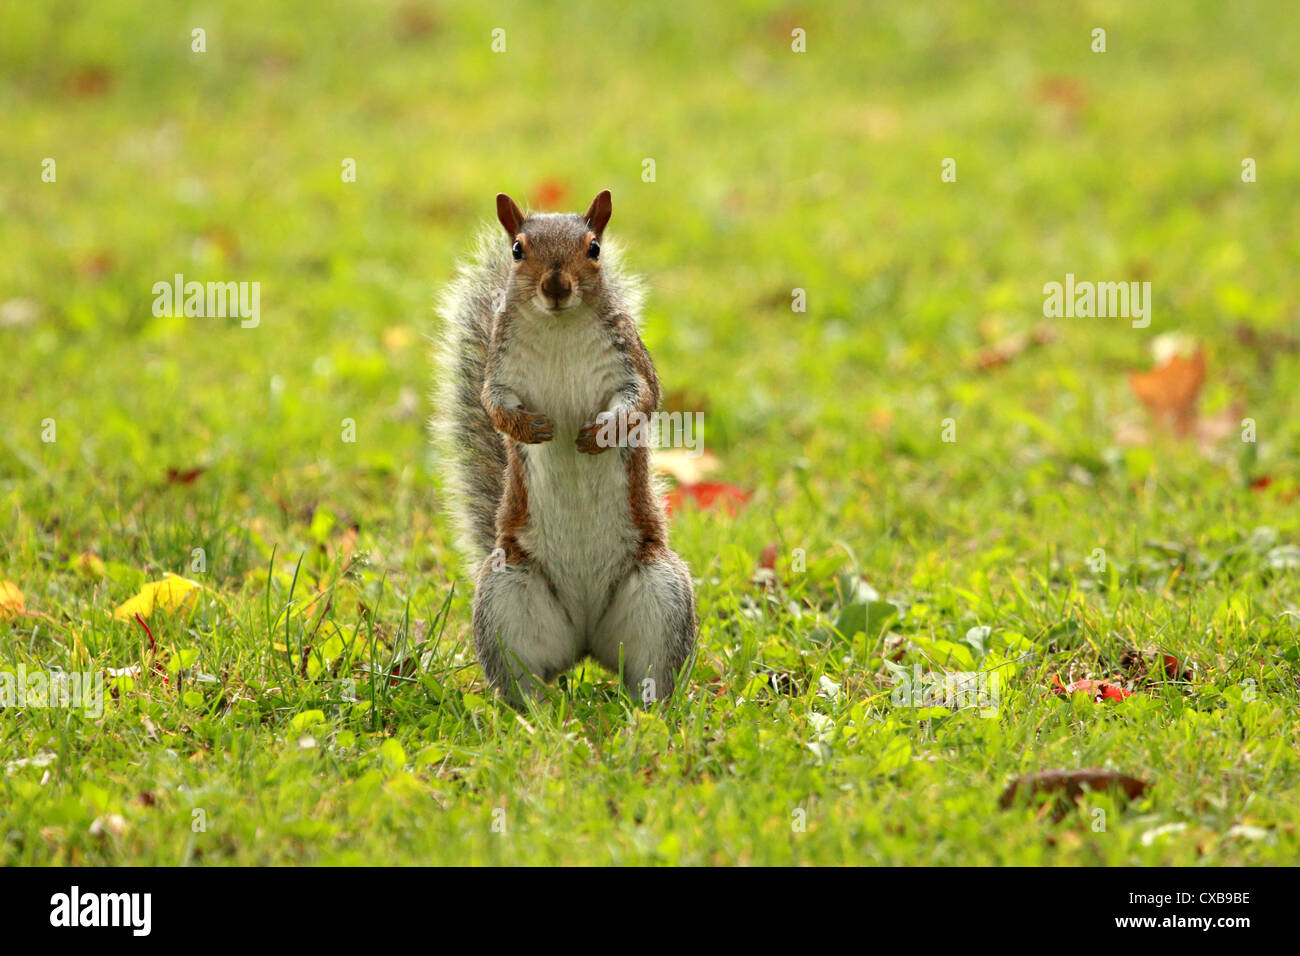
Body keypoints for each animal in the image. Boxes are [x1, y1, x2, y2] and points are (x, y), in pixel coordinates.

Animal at [432, 189, 696, 706]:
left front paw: (598, 435)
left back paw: (649, 712)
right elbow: (493, 407)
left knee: (651, 674)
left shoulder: (632, 365)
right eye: (517, 250)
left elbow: (641, 402)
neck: (558, 327)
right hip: (508, 595)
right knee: (524, 681)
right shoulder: (499, 373)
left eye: (594, 248)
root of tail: (586, 639)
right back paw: (532, 717)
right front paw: (528, 427)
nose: (556, 286)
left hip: (660, 592)